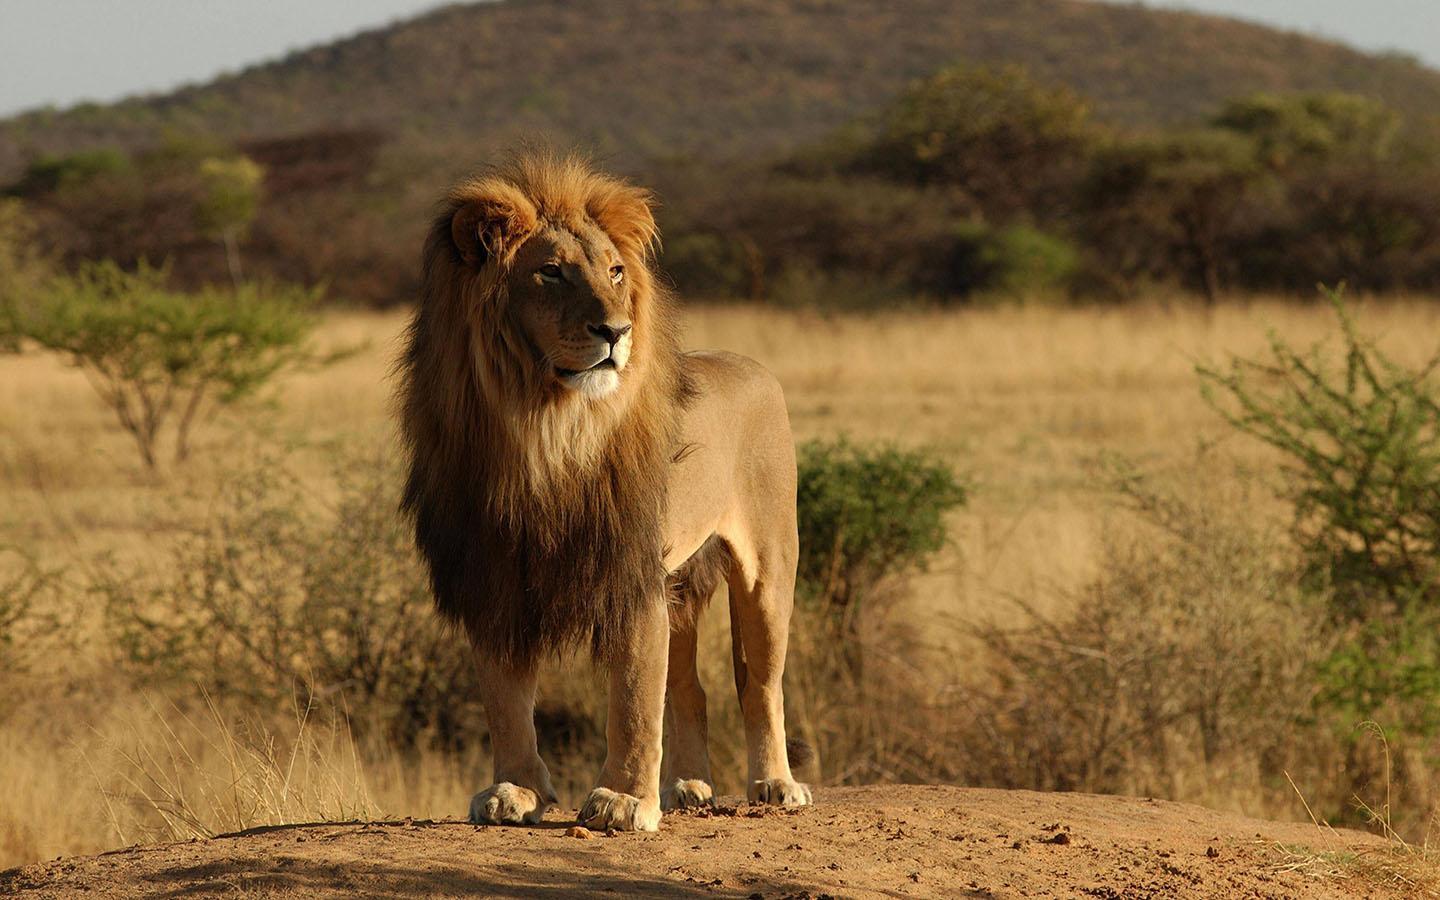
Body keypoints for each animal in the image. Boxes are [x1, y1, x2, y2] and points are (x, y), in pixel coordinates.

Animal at [396, 152, 811, 832]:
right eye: (551, 272)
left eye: (615, 272)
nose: (616, 330)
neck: (544, 429)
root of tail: (752, 366)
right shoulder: (494, 575)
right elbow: (505, 699)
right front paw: (515, 791)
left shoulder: (630, 572)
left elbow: (635, 698)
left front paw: (623, 800)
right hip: (681, 583)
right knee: (690, 688)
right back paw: (688, 787)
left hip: (768, 571)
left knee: (760, 684)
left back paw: (775, 784)